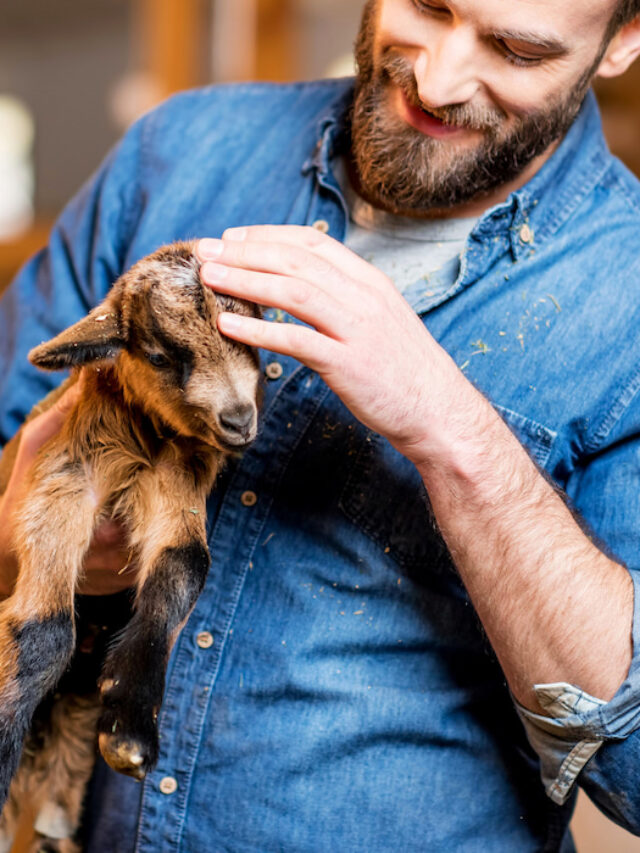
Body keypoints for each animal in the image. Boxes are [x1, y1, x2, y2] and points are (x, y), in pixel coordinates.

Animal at [0, 241, 262, 852]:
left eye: (253, 334)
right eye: (160, 356)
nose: (238, 421)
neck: (145, 435)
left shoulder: (175, 482)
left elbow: (184, 566)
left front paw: (130, 731)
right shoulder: (68, 475)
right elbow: (44, 627)